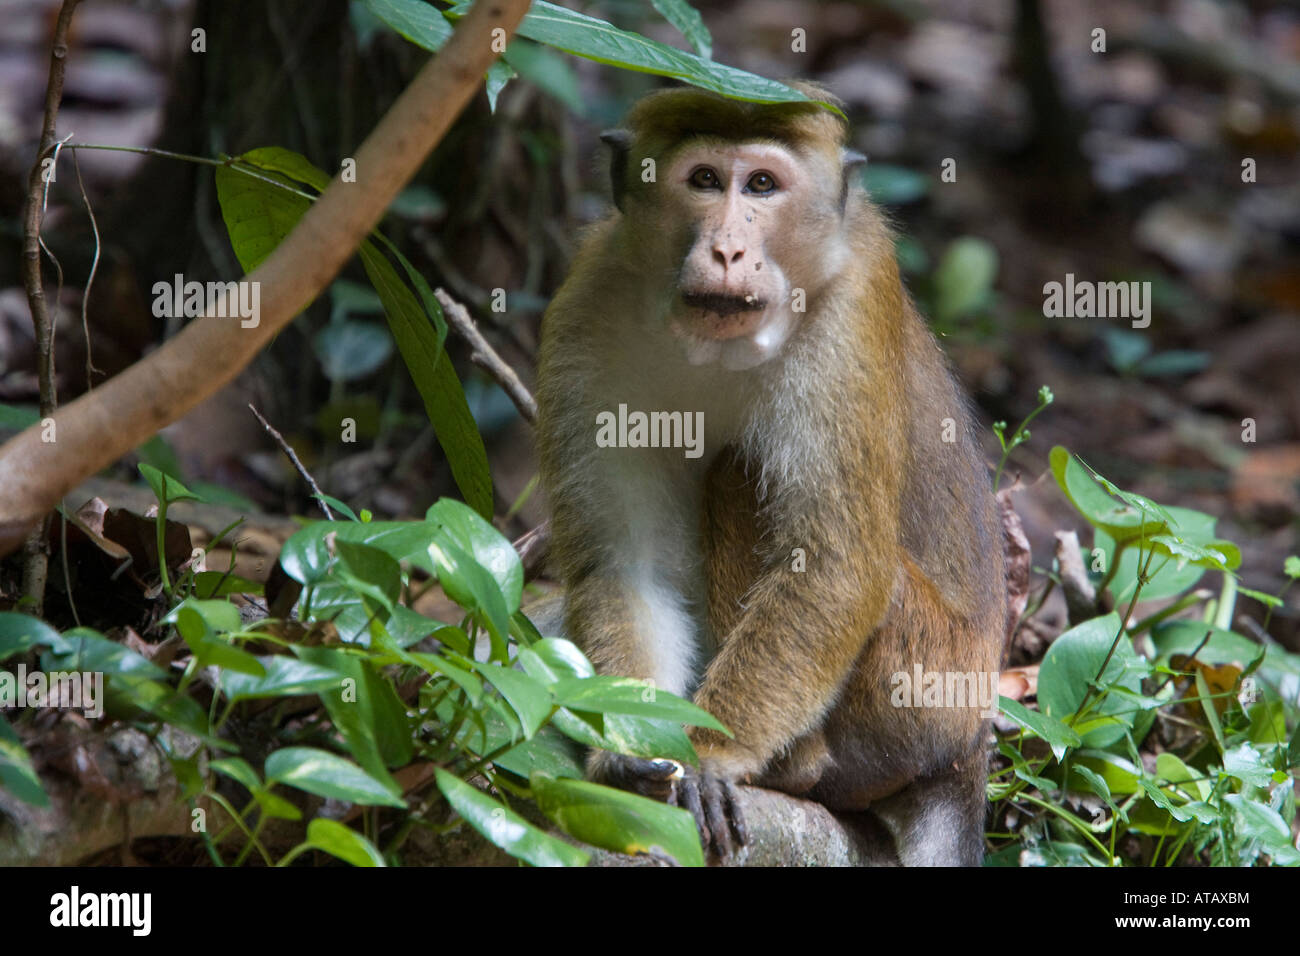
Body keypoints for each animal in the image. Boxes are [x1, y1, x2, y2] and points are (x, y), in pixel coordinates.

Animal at [534, 83, 1005, 866]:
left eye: (760, 185)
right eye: (703, 180)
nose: (728, 248)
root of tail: (968, 744)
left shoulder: (852, 307)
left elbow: (835, 566)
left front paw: (707, 755)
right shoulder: (587, 305)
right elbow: (626, 566)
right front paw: (623, 749)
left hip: (922, 693)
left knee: (739, 472)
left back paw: (799, 768)